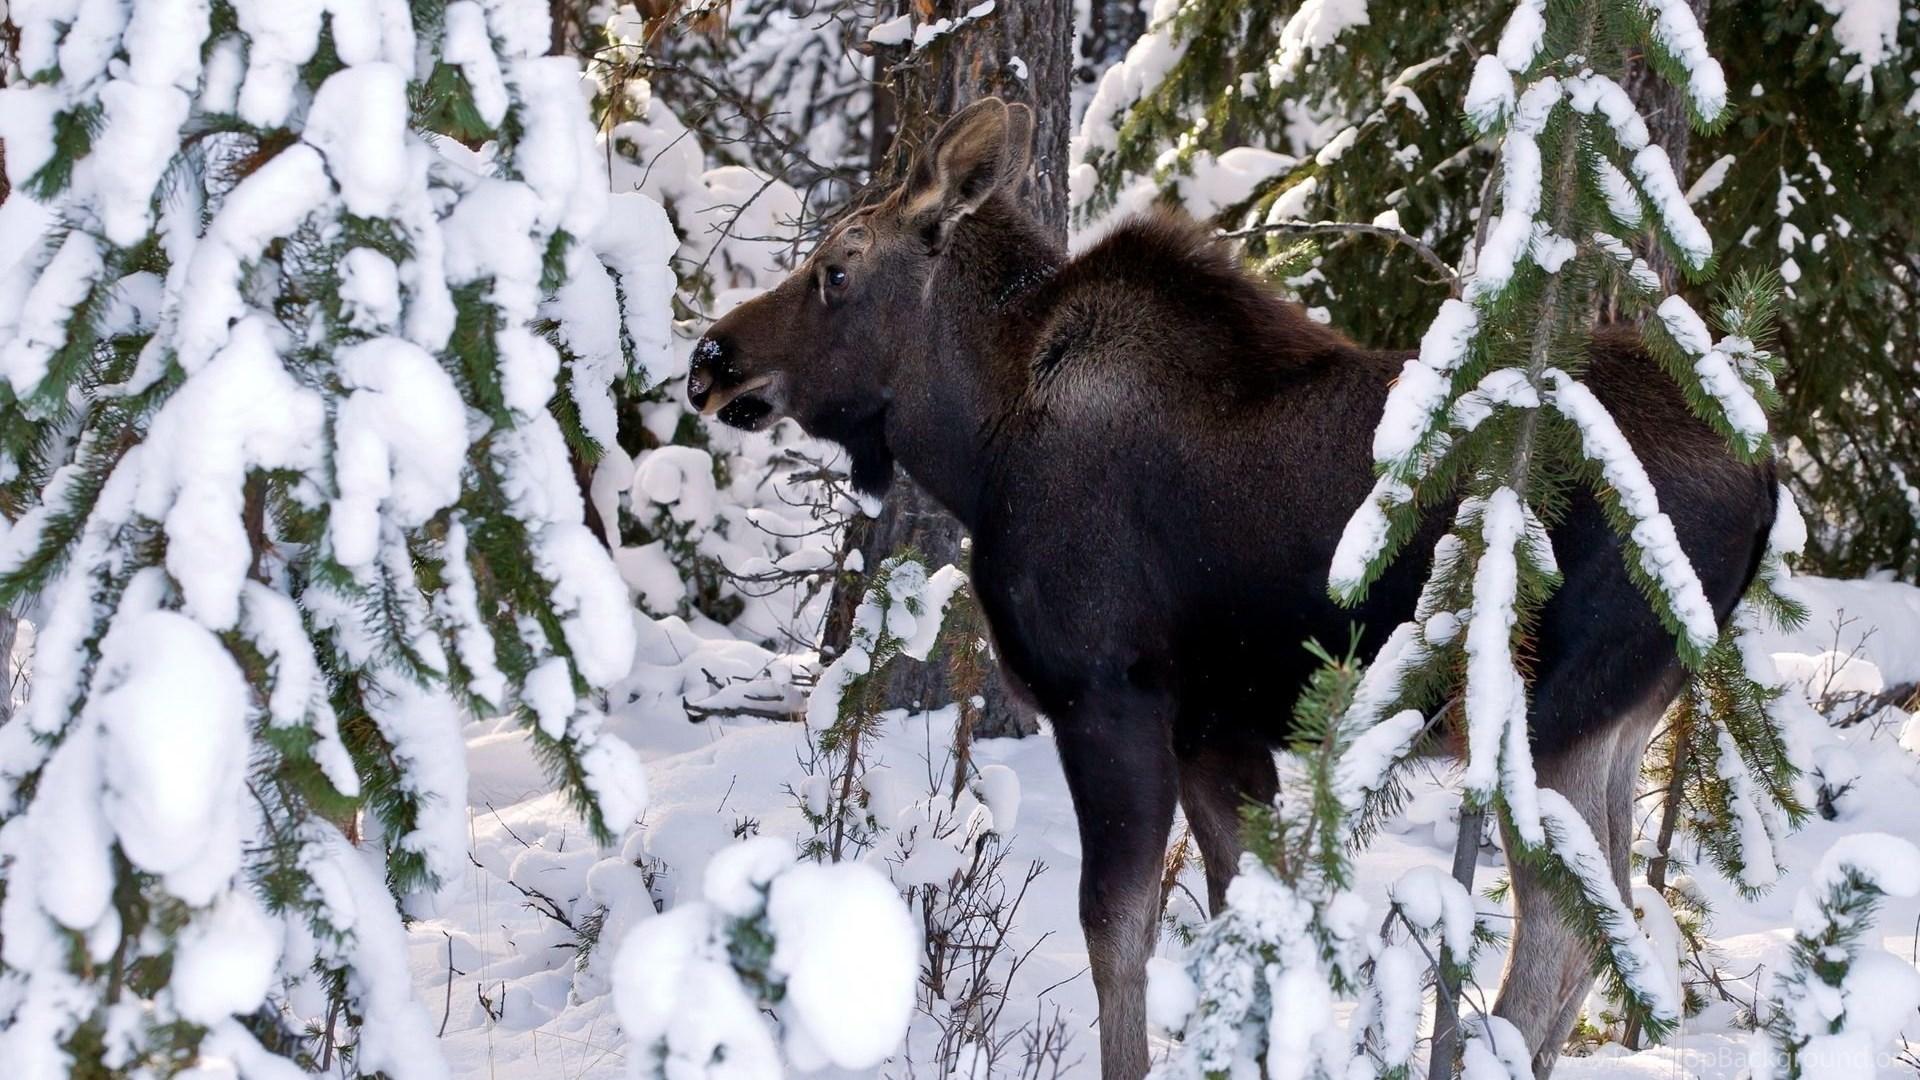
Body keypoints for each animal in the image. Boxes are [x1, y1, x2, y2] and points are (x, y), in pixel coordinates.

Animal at [688, 99, 1776, 1079]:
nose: (711, 359)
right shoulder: (1219, 732)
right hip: (1621, 714)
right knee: (1615, 918)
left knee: (1564, 925)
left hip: (1546, 709)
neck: (977, 445)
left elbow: (1117, 934)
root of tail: (1769, 482)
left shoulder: (1110, 699)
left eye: (836, 268)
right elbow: (1246, 928)